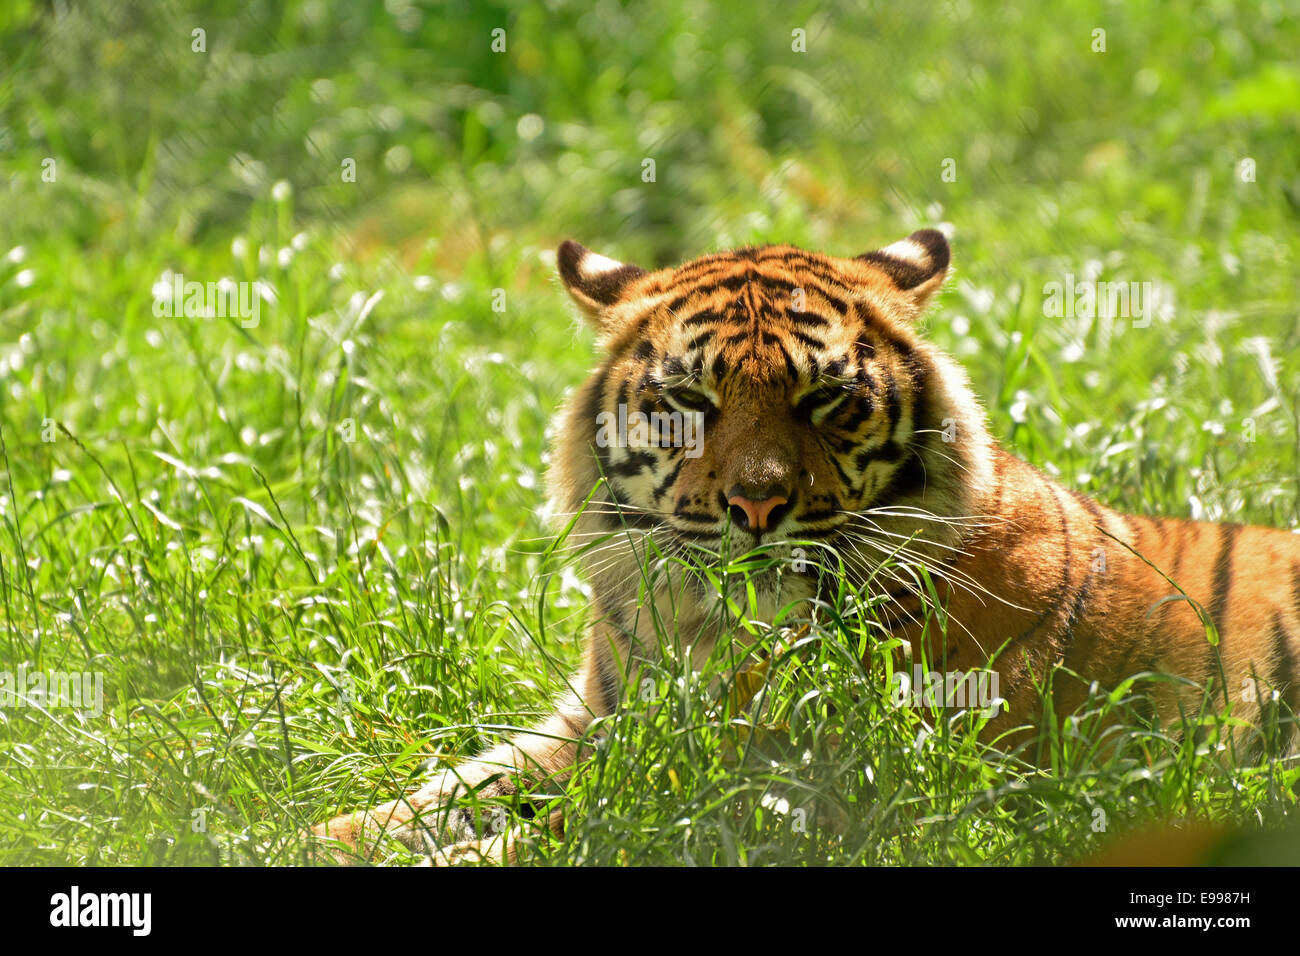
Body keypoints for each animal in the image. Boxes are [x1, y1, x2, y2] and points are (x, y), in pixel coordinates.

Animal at [312, 229, 1300, 863]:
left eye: (827, 399)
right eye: (689, 401)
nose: (758, 504)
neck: (704, 627)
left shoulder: (789, 785)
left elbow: (546, 835)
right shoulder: (593, 723)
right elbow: (435, 796)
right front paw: (302, 831)